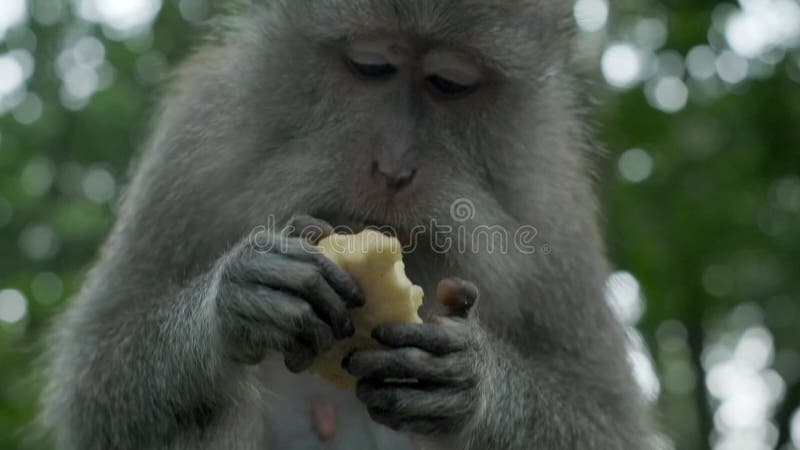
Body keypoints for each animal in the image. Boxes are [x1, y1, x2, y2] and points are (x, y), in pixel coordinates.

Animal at [42, 0, 650, 449]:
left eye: (448, 84)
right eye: (371, 66)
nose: (394, 169)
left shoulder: (555, 200)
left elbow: (607, 421)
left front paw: (474, 379)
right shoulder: (197, 132)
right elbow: (93, 379)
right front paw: (235, 300)